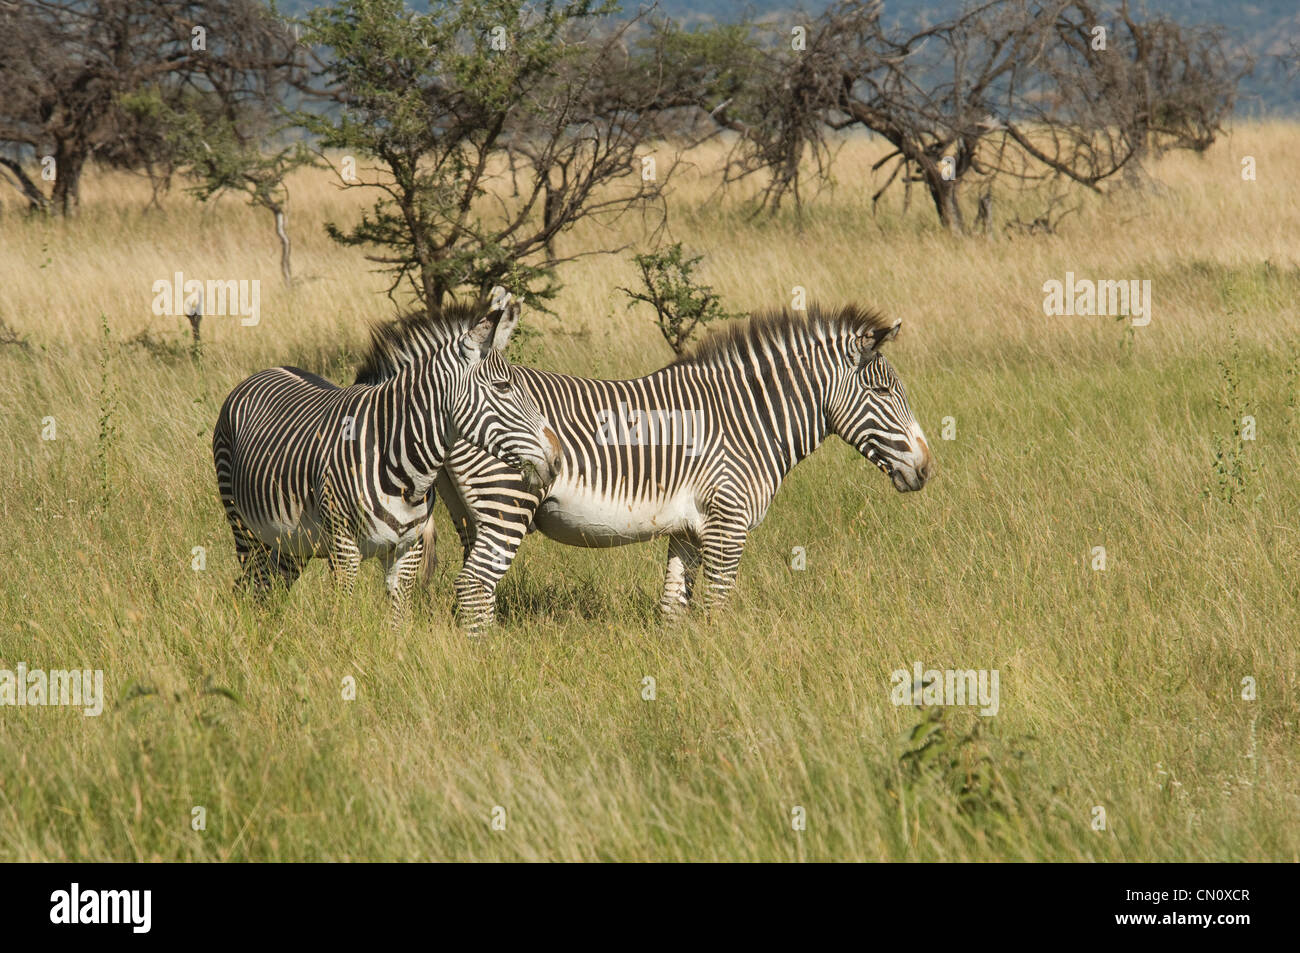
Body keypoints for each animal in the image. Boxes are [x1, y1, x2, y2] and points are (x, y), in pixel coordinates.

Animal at [211, 289, 562, 624]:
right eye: (503, 386)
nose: (558, 459)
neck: (406, 471)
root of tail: (267, 370)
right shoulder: (344, 550)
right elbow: (341, 618)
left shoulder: (407, 552)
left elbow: (398, 622)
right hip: (242, 524)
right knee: (251, 581)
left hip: (288, 539)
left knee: (266, 587)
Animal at [353, 301, 933, 628]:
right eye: (884, 391)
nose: (927, 469)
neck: (745, 420)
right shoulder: (729, 523)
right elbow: (716, 606)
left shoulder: (690, 530)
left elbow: (674, 608)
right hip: (506, 501)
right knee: (474, 590)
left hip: (463, 512)